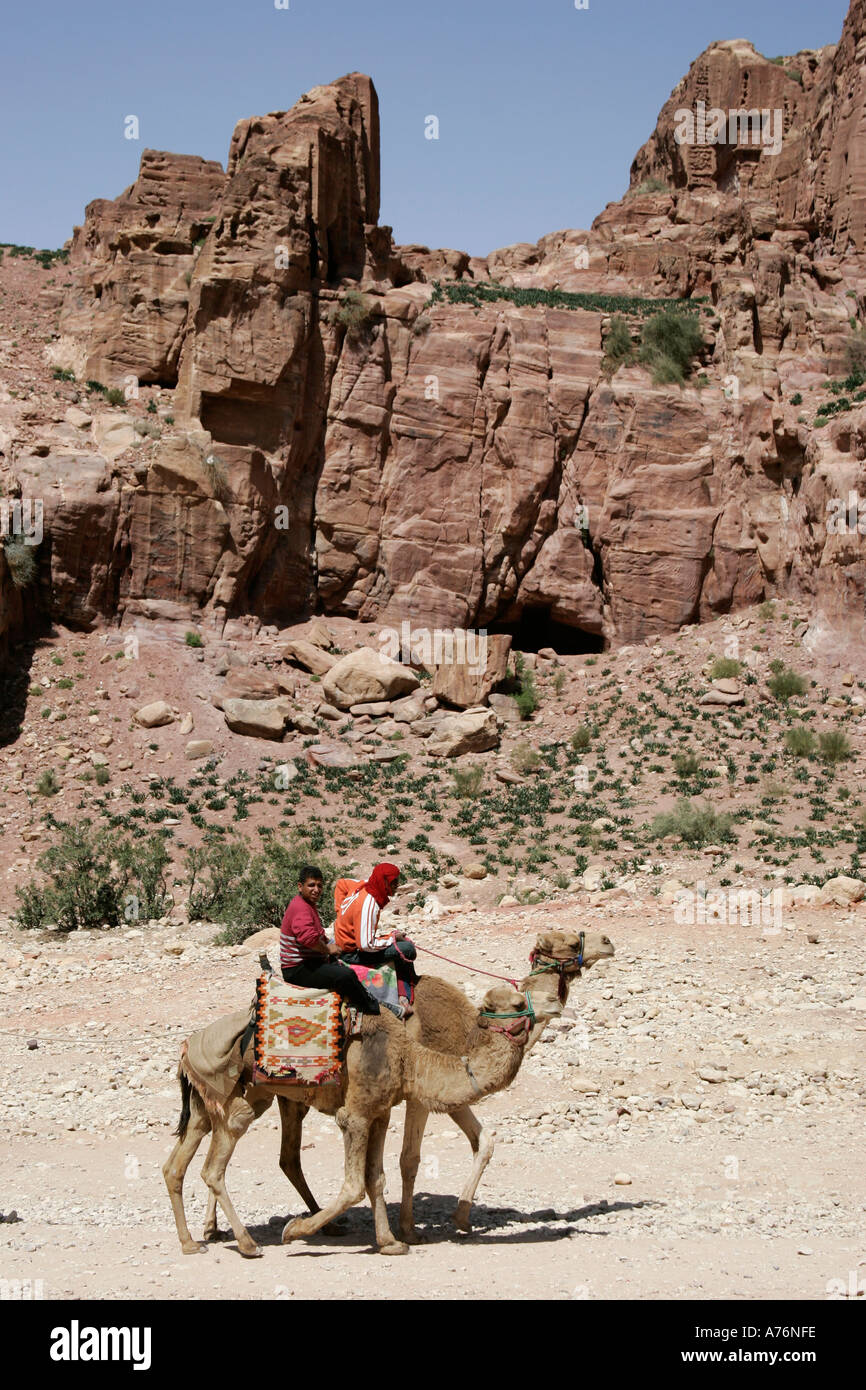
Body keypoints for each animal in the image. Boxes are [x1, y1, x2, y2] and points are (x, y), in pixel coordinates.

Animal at [165, 928, 613, 1255]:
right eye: (569, 941)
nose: (606, 942)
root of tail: (188, 1048)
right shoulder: (394, 1105)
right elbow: (395, 1166)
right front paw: (410, 1230)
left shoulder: (390, 1106)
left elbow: (385, 1173)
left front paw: (404, 1237)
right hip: (241, 1099)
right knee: (217, 1165)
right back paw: (248, 1240)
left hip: (238, 1101)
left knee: (197, 1162)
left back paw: (197, 1239)